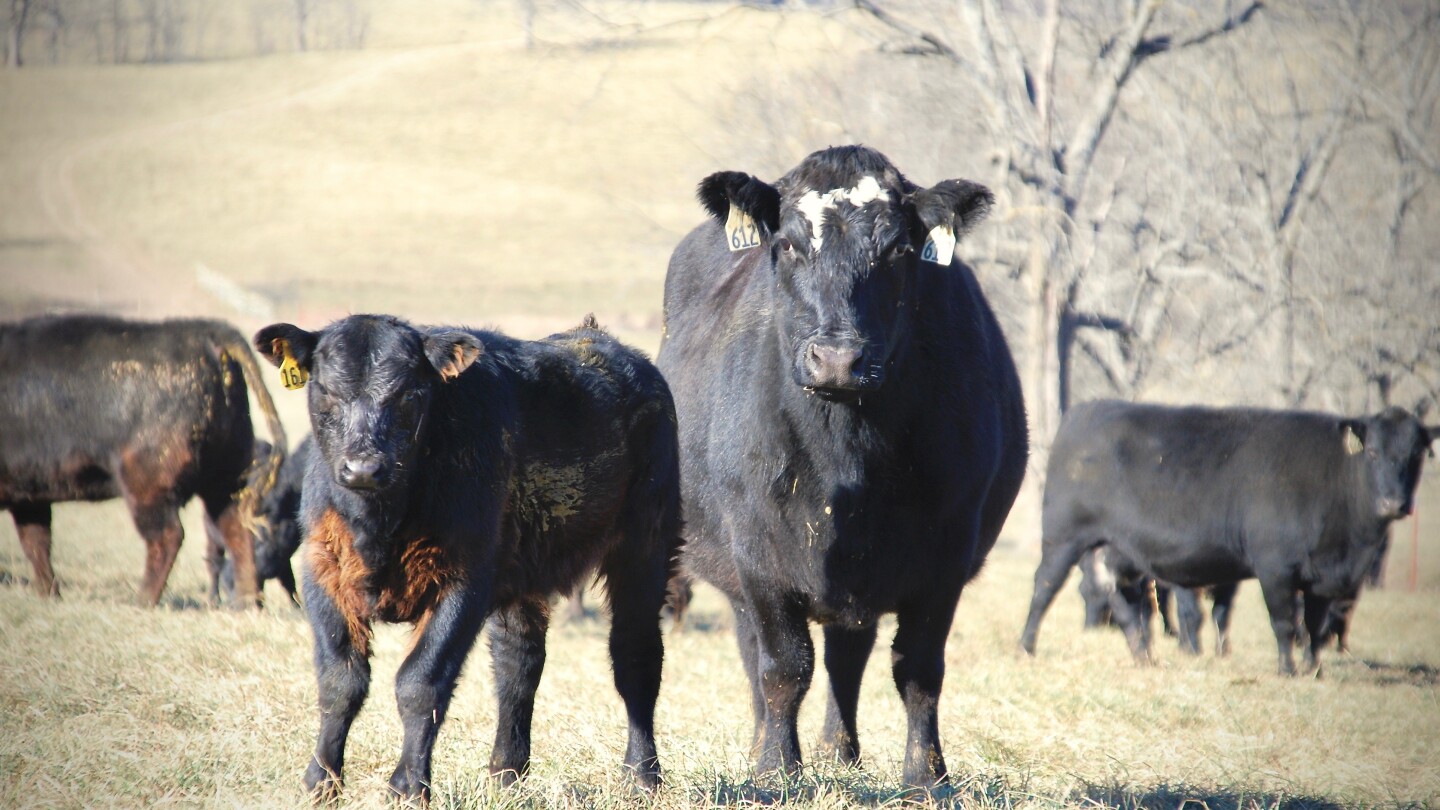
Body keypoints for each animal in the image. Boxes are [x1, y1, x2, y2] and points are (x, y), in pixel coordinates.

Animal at [0, 315, 285, 607]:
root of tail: (207, 331)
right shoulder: (29, 498)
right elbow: (36, 543)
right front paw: (48, 595)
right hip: (224, 479)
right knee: (237, 530)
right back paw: (247, 603)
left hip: (146, 486)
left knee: (168, 536)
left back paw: (142, 601)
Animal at [252, 313, 680, 802]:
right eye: (324, 388)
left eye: (410, 393)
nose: (363, 468)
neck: (380, 523)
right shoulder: (323, 573)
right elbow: (340, 682)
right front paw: (321, 781)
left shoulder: (464, 583)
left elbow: (420, 683)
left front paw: (408, 786)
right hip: (523, 576)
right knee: (519, 665)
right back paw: (507, 775)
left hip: (646, 546)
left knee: (635, 656)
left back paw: (642, 775)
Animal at [656, 146, 1028, 789]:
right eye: (787, 244)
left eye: (898, 250)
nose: (837, 359)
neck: (847, 466)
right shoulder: (759, 550)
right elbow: (783, 667)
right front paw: (776, 774)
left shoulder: (946, 554)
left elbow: (918, 671)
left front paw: (927, 779)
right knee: (761, 656)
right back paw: (768, 747)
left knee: (846, 657)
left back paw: (839, 752)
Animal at [1020, 399, 1436, 675]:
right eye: (1373, 452)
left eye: (1416, 454)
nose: (1393, 502)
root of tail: (1086, 409)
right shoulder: (1275, 568)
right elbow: (1285, 622)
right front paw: (1287, 671)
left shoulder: (1323, 580)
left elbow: (1316, 628)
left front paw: (1313, 670)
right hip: (1063, 539)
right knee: (1045, 587)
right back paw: (1026, 646)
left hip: (1114, 552)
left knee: (1122, 602)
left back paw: (1144, 657)